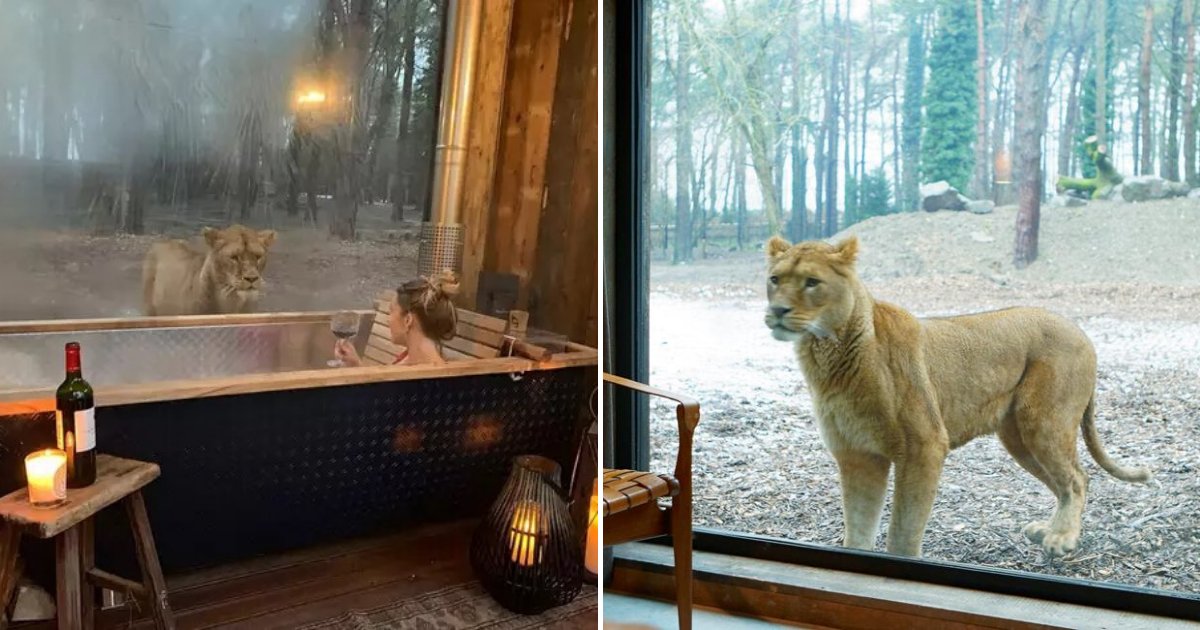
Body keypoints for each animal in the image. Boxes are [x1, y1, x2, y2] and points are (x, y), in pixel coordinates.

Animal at [764, 235, 1151, 558]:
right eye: (775, 280)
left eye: (812, 282)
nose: (778, 311)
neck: (827, 354)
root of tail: (1079, 329)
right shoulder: (857, 454)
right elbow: (858, 528)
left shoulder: (924, 447)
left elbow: (903, 530)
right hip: (1018, 437)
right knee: (1062, 481)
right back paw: (1048, 529)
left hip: (1044, 423)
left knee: (1077, 478)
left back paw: (1062, 538)